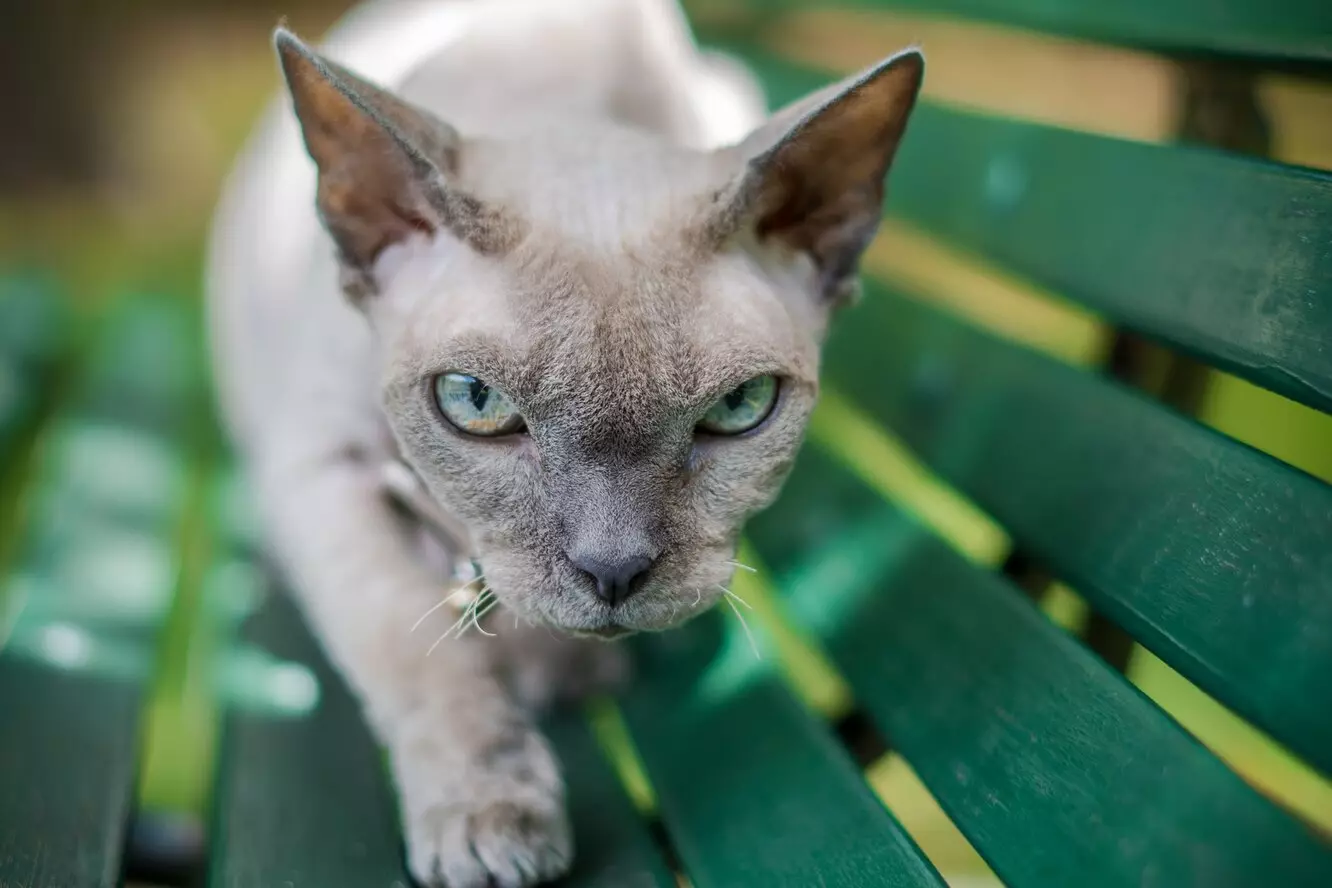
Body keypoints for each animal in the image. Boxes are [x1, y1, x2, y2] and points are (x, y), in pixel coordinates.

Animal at [202, 1, 921, 884]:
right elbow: (416, 650)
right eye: (475, 403)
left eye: (738, 407)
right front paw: (487, 816)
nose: (613, 571)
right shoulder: (320, 470)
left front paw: (557, 670)